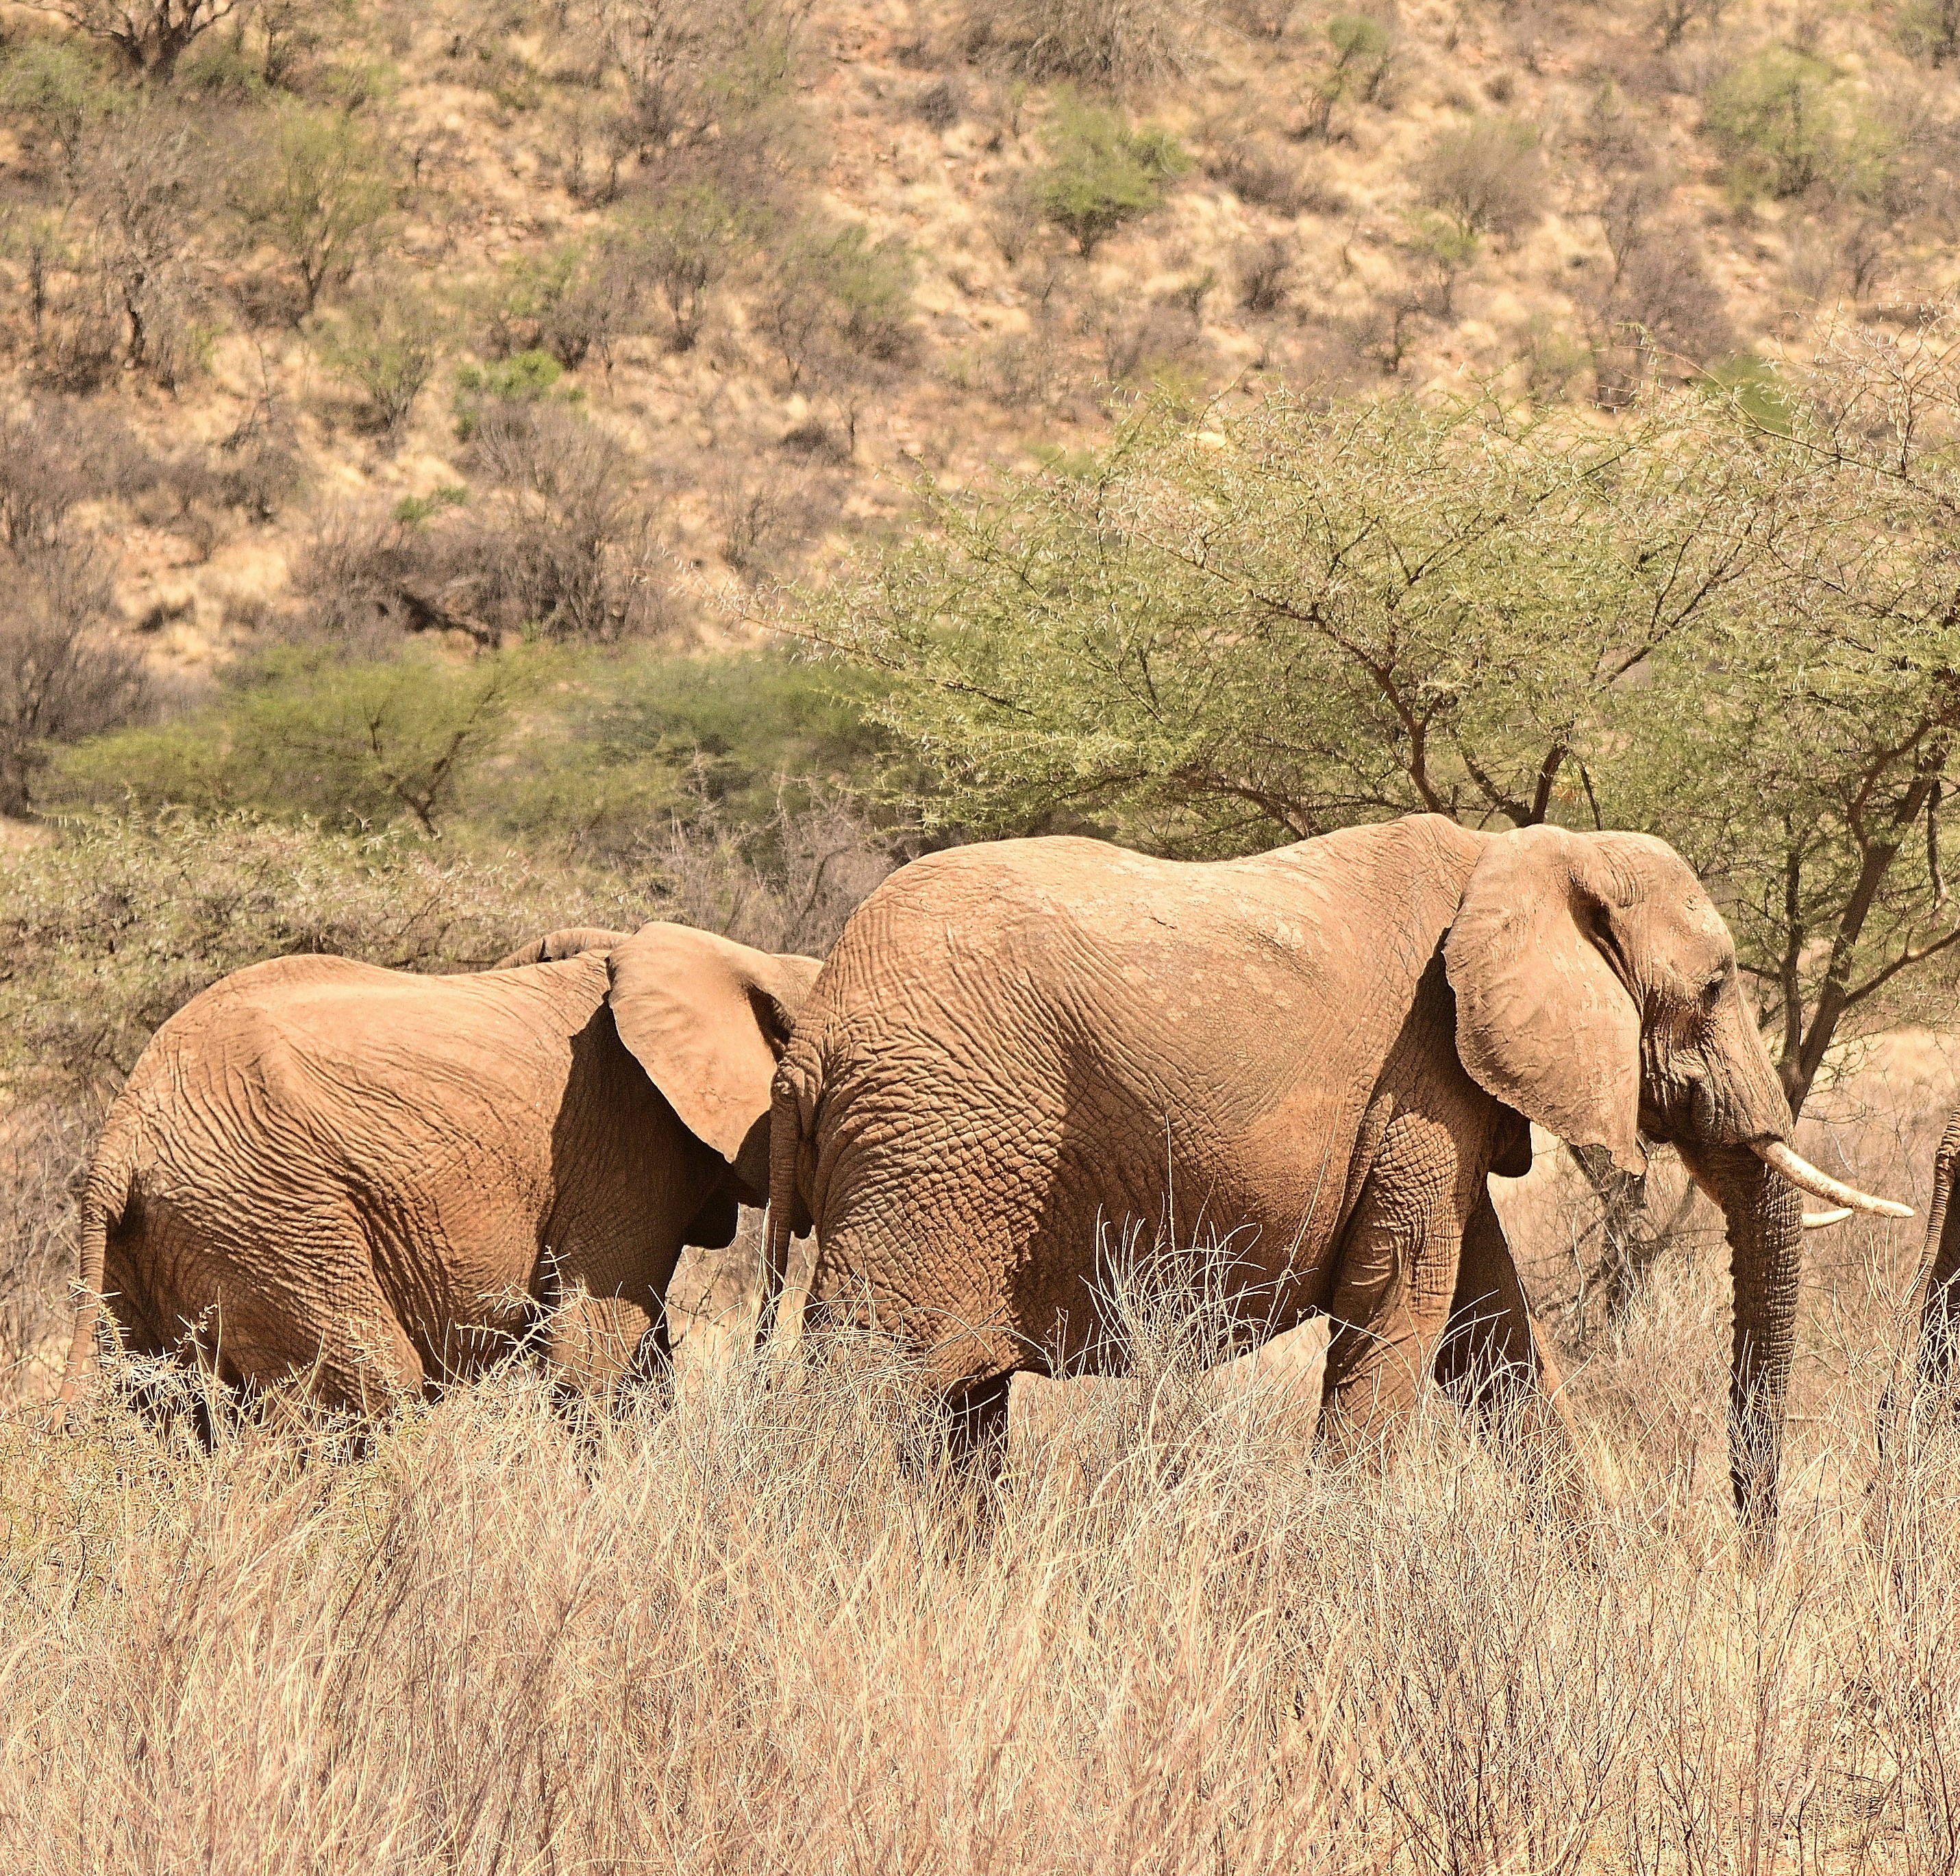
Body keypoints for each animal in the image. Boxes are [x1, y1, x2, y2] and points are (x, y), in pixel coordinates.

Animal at [58, 920, 821, 1413]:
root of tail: (119, 1136)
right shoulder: (628, 1141)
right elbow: (595, 1359)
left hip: (168, 1239)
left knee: (166, 1408)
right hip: (273, 1212)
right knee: (375, 1388)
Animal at [767, 814, 1909, 1527]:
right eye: (1714, 985)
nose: (1753, 1557)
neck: (1521, 853)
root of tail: (810, 1038)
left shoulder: (1437, 1097)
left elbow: (1489, 1329)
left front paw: (1598, 1586)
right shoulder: (1421, 1078)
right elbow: (1402, 1304)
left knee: (958, 1404)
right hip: (937, 1149)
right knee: (857, 1394)